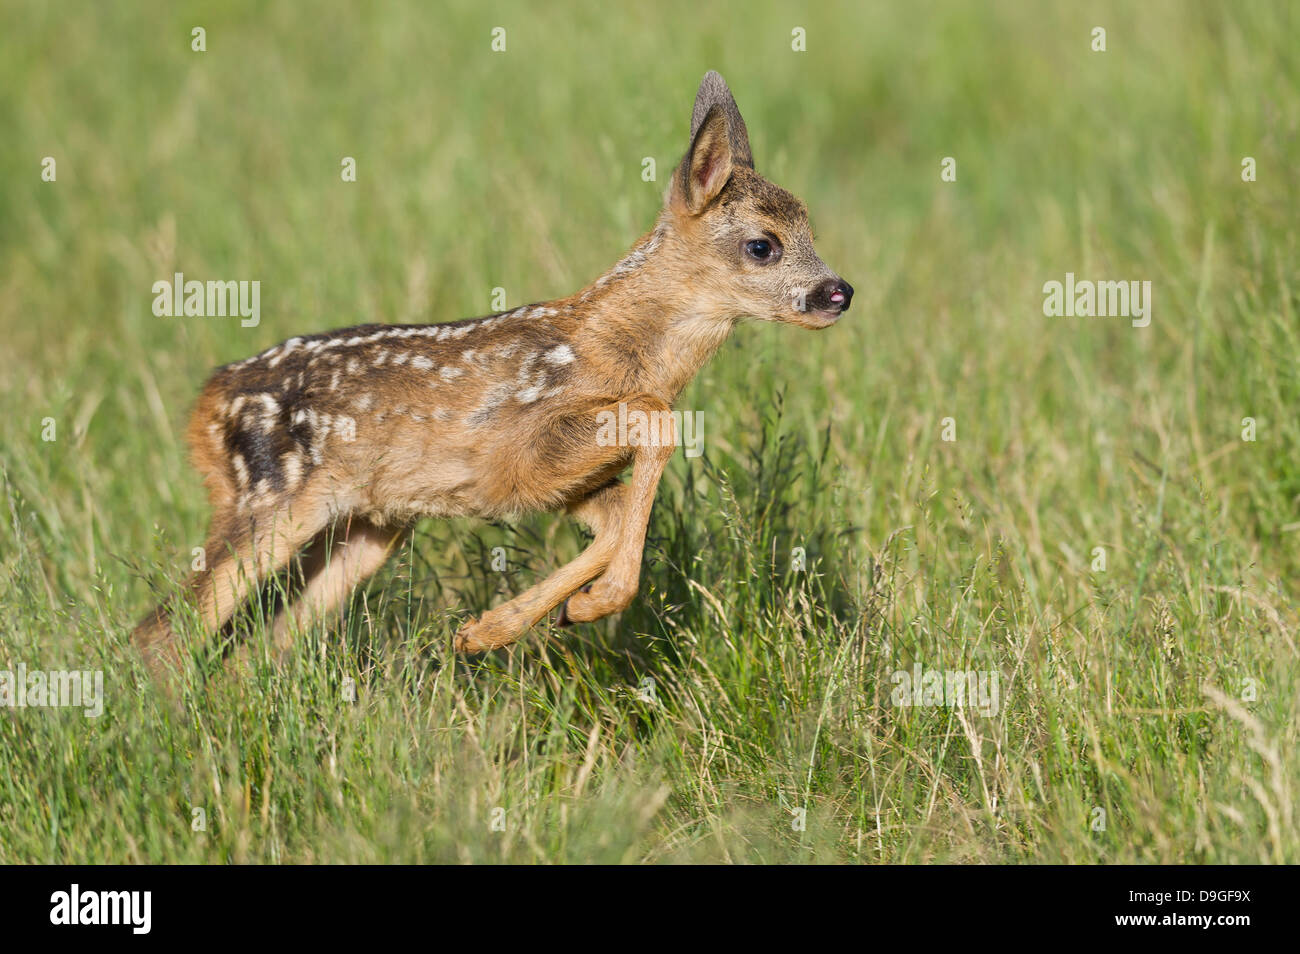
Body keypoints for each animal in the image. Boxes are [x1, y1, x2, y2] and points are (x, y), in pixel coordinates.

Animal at [132, 70, 853, 675]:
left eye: (812, 231)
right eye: (763, 245)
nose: (838, 292)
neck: (618, 347)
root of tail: (205, 402)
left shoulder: (566, 481)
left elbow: (620, 513)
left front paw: (516, 624)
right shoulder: (524, 453)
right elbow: (659, 420)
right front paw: (533, 619)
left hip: (367, 530)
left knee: (255, 649)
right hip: (269, 500)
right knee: (162, 634)